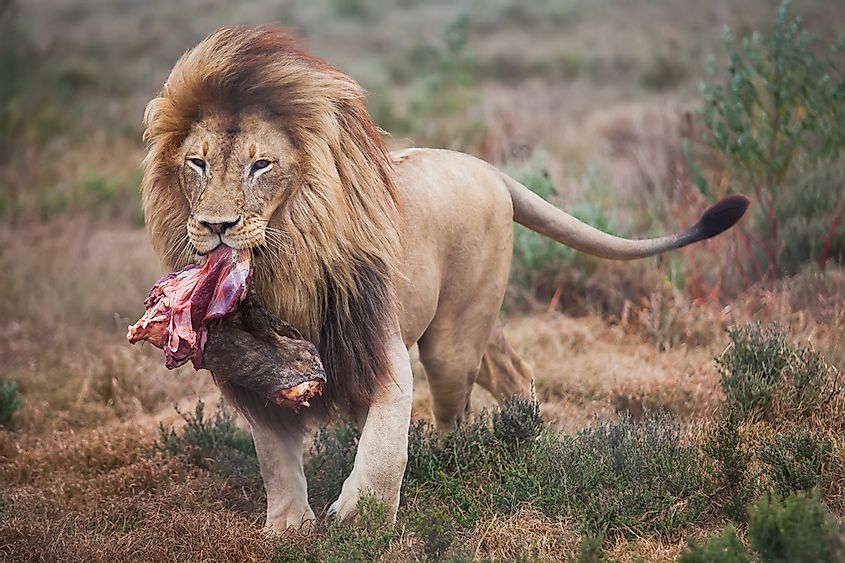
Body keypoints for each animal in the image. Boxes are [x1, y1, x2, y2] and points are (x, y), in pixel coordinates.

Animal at [140, 26, 749, 531]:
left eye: (260, 165)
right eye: (197, 163)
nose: (216, 226)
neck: (282, 264)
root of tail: (488, 168)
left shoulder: (377, 346)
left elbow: (385, 444)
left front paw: (361, 517)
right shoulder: (255, 376)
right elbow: (275, 458)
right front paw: (287, 527)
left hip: (452, 338)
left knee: (455, 410)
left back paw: (455, 459)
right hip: (478, 320)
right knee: (513, 371)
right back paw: (526, 435)